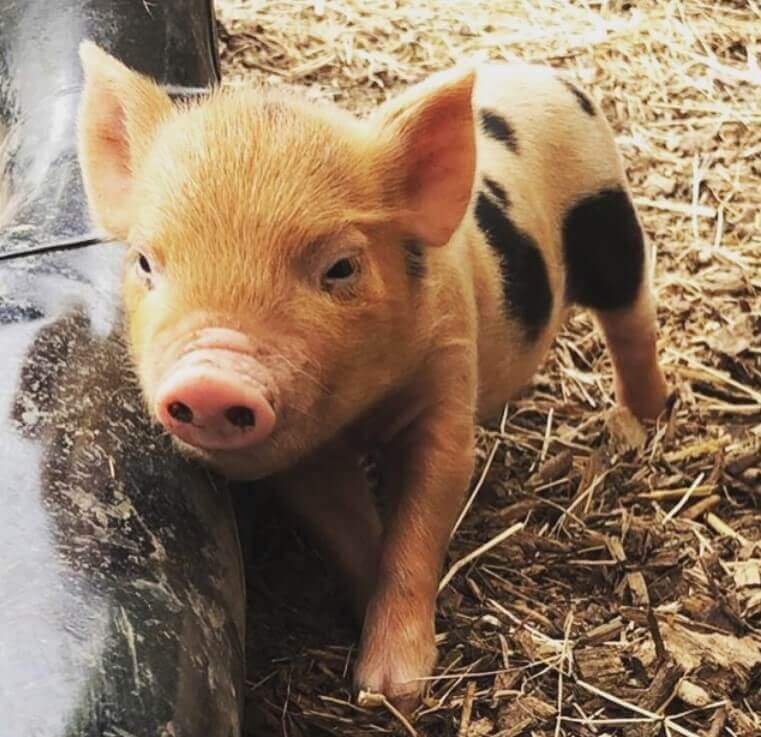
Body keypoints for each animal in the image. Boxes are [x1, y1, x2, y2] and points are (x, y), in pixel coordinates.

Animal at [77, 42, 669, 709]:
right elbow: (352, 527)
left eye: (341, 267)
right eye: (145, 262)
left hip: (611, 227)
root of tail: (542, 74)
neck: (363, 411)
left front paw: (394, 688)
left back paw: (646, 418)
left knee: (633, 319)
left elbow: (425, 511)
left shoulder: (448, 376)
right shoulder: (307, 458)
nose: (210, 379)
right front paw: (364, 632)